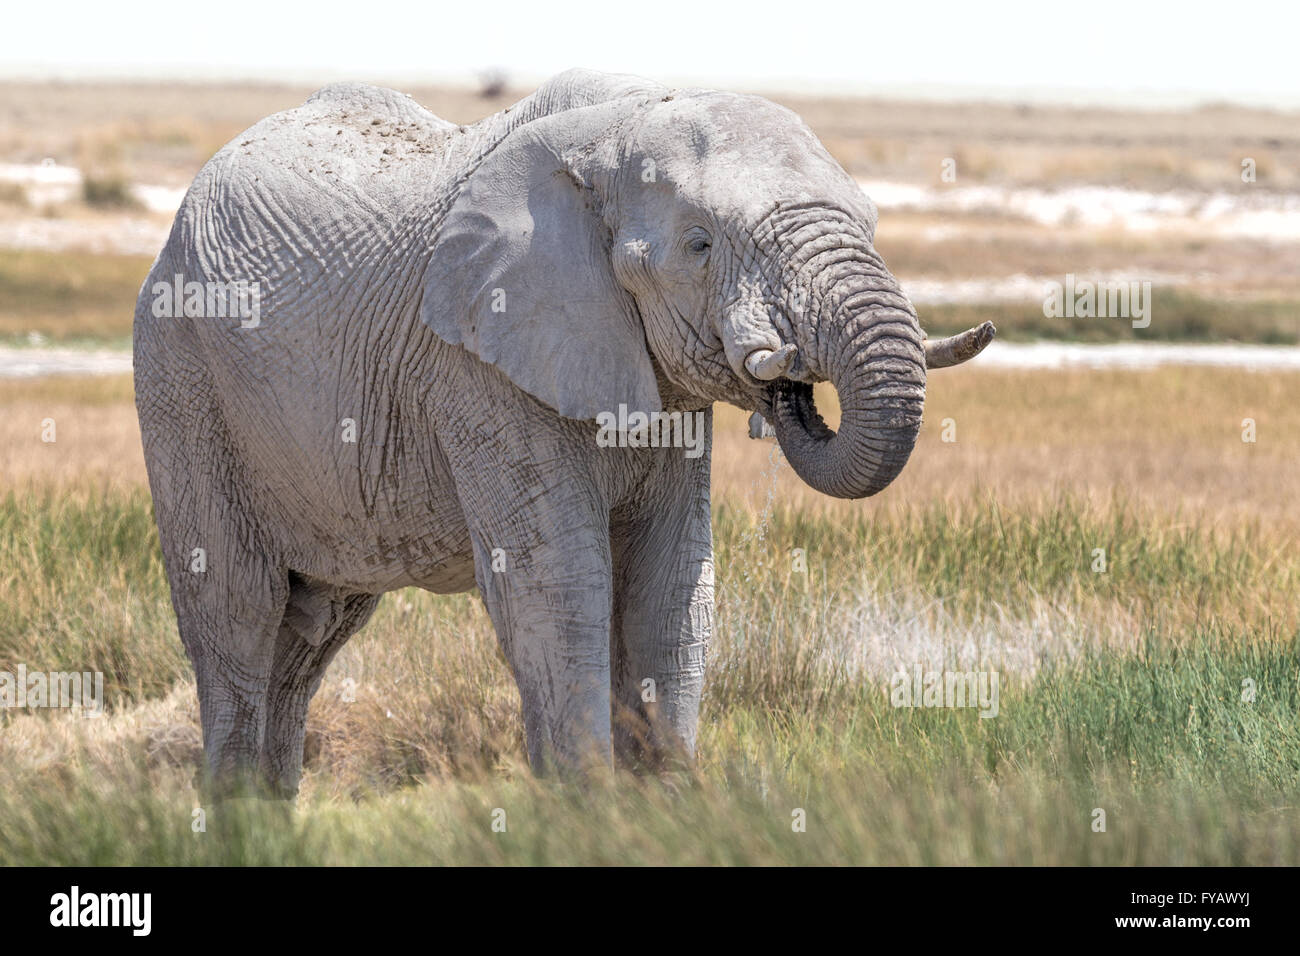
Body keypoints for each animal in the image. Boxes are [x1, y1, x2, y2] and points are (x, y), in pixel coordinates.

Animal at [133, 68, 994, 796]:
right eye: (700, 245)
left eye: (871, 221)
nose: (790, 386)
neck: (623, 121)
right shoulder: (476, 365)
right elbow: (558, 582)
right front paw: (586, 809)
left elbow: (670, 581)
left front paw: (669, 805)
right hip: (181, 376)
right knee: (239, 614)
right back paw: (237, 816)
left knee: (311, 634)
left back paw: (268, 816)